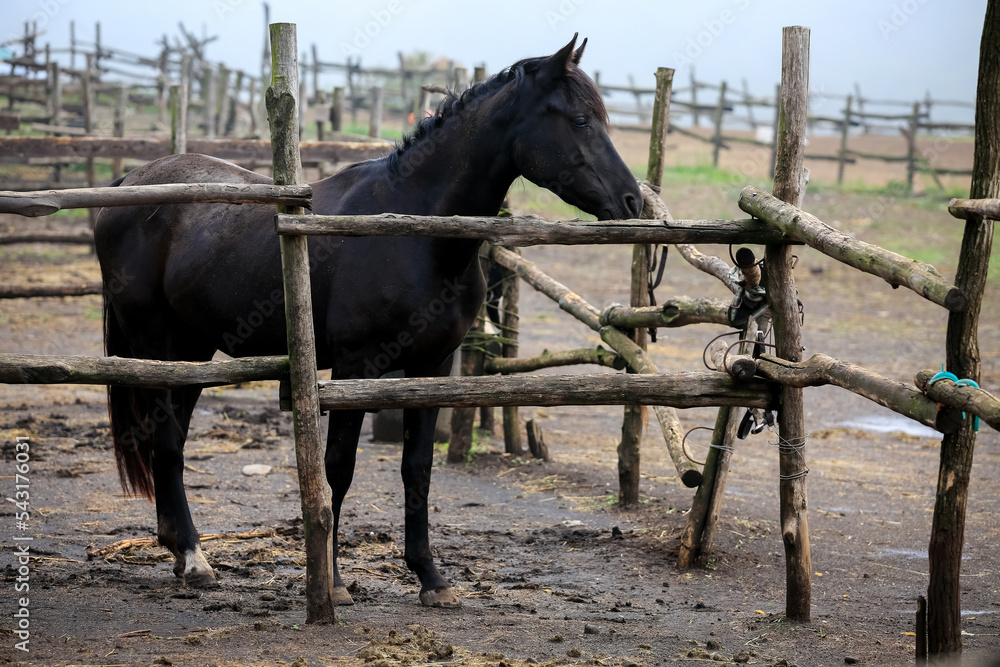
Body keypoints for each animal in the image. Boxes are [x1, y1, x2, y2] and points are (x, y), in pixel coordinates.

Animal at [95, 34, 641, 608]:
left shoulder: (432, 368)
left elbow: (416, 468)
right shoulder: (356, 367)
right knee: (166, 439)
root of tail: (131, 181)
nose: (632, 200)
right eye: (580, 120)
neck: (415, 227)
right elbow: (337, 468)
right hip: (156, 344)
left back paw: (181, 552)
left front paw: (431, 578)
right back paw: (195, 557)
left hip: (195, 352)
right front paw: (333, 582)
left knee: (171, 441)